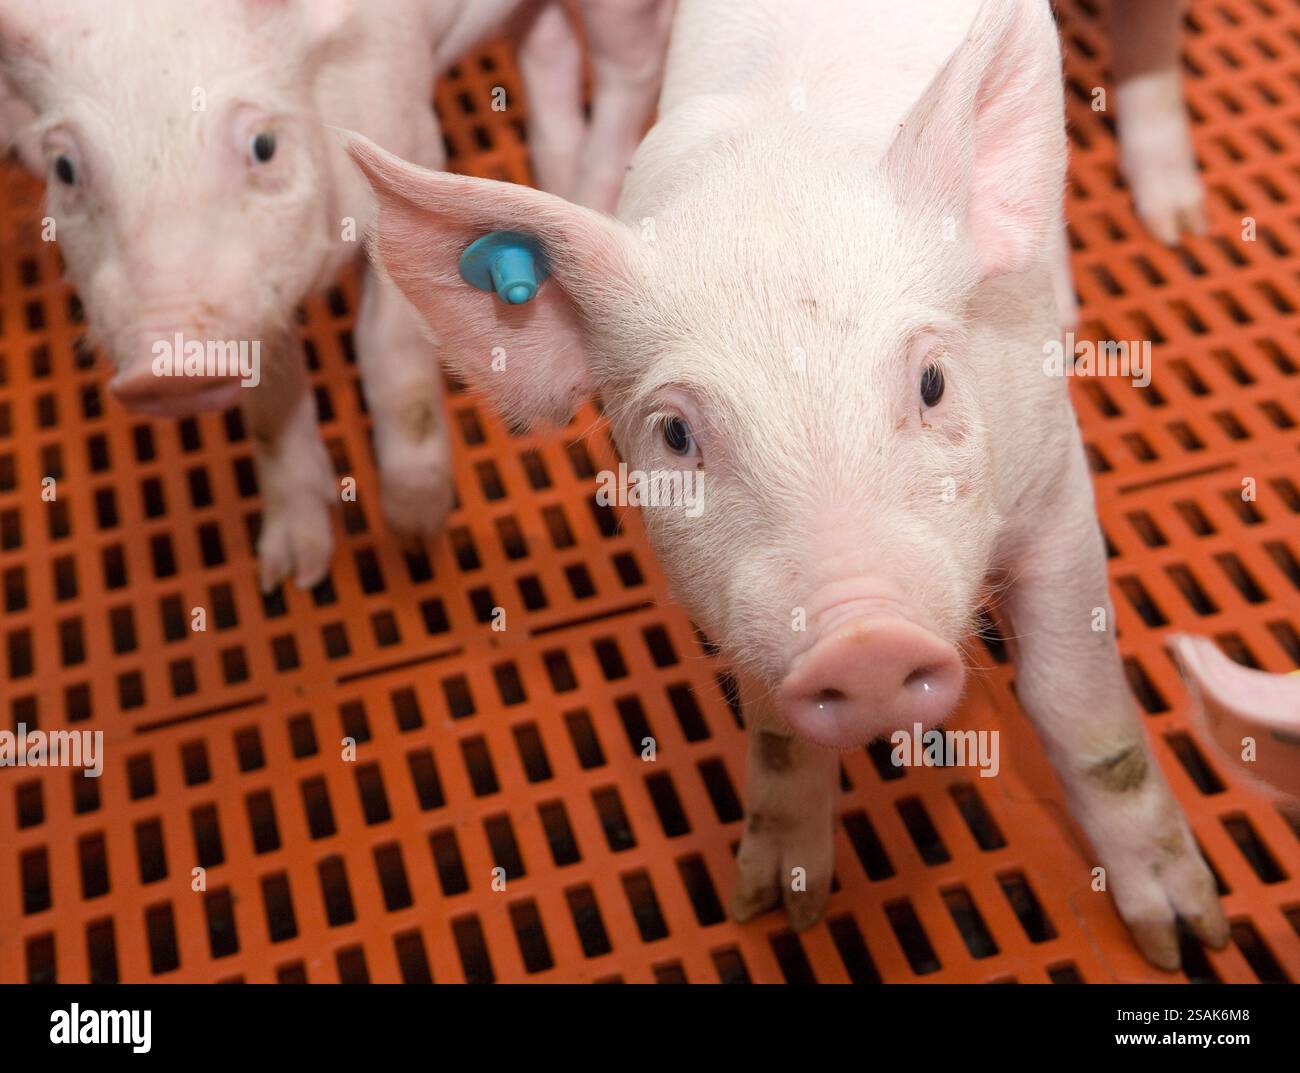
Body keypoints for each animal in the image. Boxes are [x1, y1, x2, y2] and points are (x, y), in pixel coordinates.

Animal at [0, 0, 672, 591]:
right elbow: (272, 400)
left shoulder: (409, 139)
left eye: (264, 144)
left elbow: (389, 350)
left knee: (629, 66)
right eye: (64, 169)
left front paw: (415, 527)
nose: (168, 371)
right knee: (550, 47)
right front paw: (294, 575)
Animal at [349, 0, 1229, 972]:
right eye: (675, 434)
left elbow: (1080, 705)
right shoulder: (733, 598)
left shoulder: (1057, 484)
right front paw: (777, 907)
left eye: (932, 382)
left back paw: (1172, 228)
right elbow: (775, 738)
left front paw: (1183, 934)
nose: (864, 640)